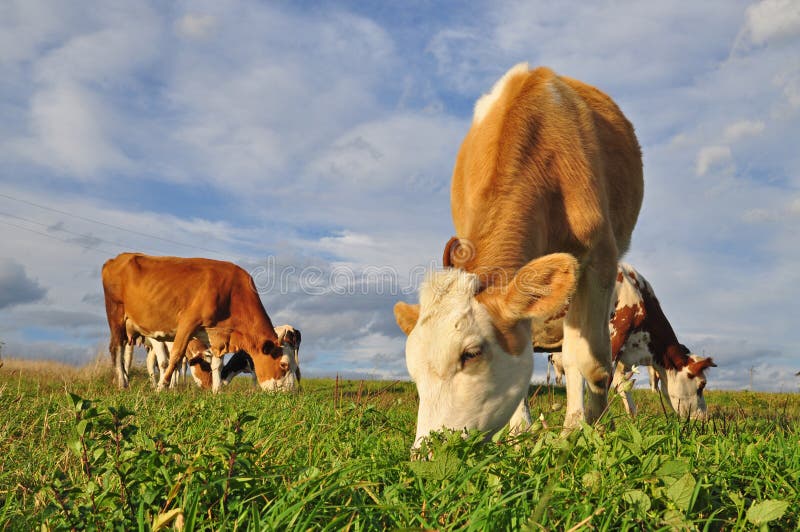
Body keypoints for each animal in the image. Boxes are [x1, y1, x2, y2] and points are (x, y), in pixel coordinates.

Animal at [101, 253, 295, 393]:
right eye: (283, 365)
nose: (292, 392)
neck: (232, 293)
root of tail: (115, 259)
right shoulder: (188, 323)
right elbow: (175, 356)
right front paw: (161, 387)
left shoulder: (217, 334)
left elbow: (217, 364)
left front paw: (217, 391)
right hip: (116, 313)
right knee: (116, 348)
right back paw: (122, 383)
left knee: (125, 354)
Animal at [394, 64, 644, 446]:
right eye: (413, 369)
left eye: (471, 354)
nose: (427, 452)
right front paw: (518, 432)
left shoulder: (599, 259)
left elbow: (592, 362)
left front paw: (590, 429)